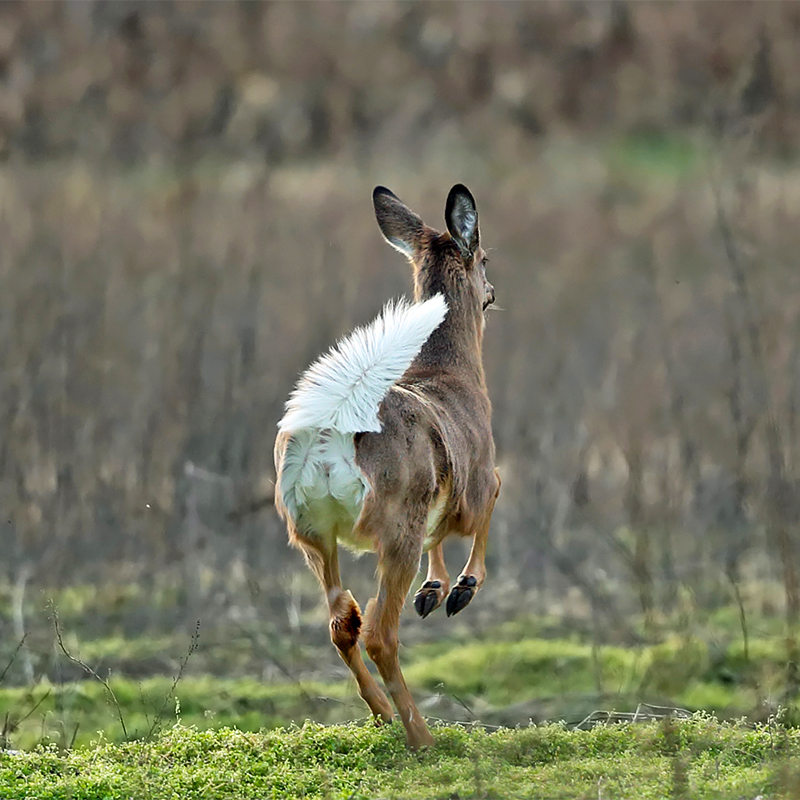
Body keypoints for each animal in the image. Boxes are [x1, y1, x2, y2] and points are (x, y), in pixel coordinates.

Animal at [274, 184, 500, 749]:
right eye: (486, 258)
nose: (493, 291)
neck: (449, 372)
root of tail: (330, 430)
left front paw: (435, 589)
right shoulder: (476, 478)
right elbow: (491, 500)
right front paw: (458, 588)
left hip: (309, 532)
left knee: (342, 622)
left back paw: (381, 713)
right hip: (394, 522)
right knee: (380, 631)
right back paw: (421, 734)